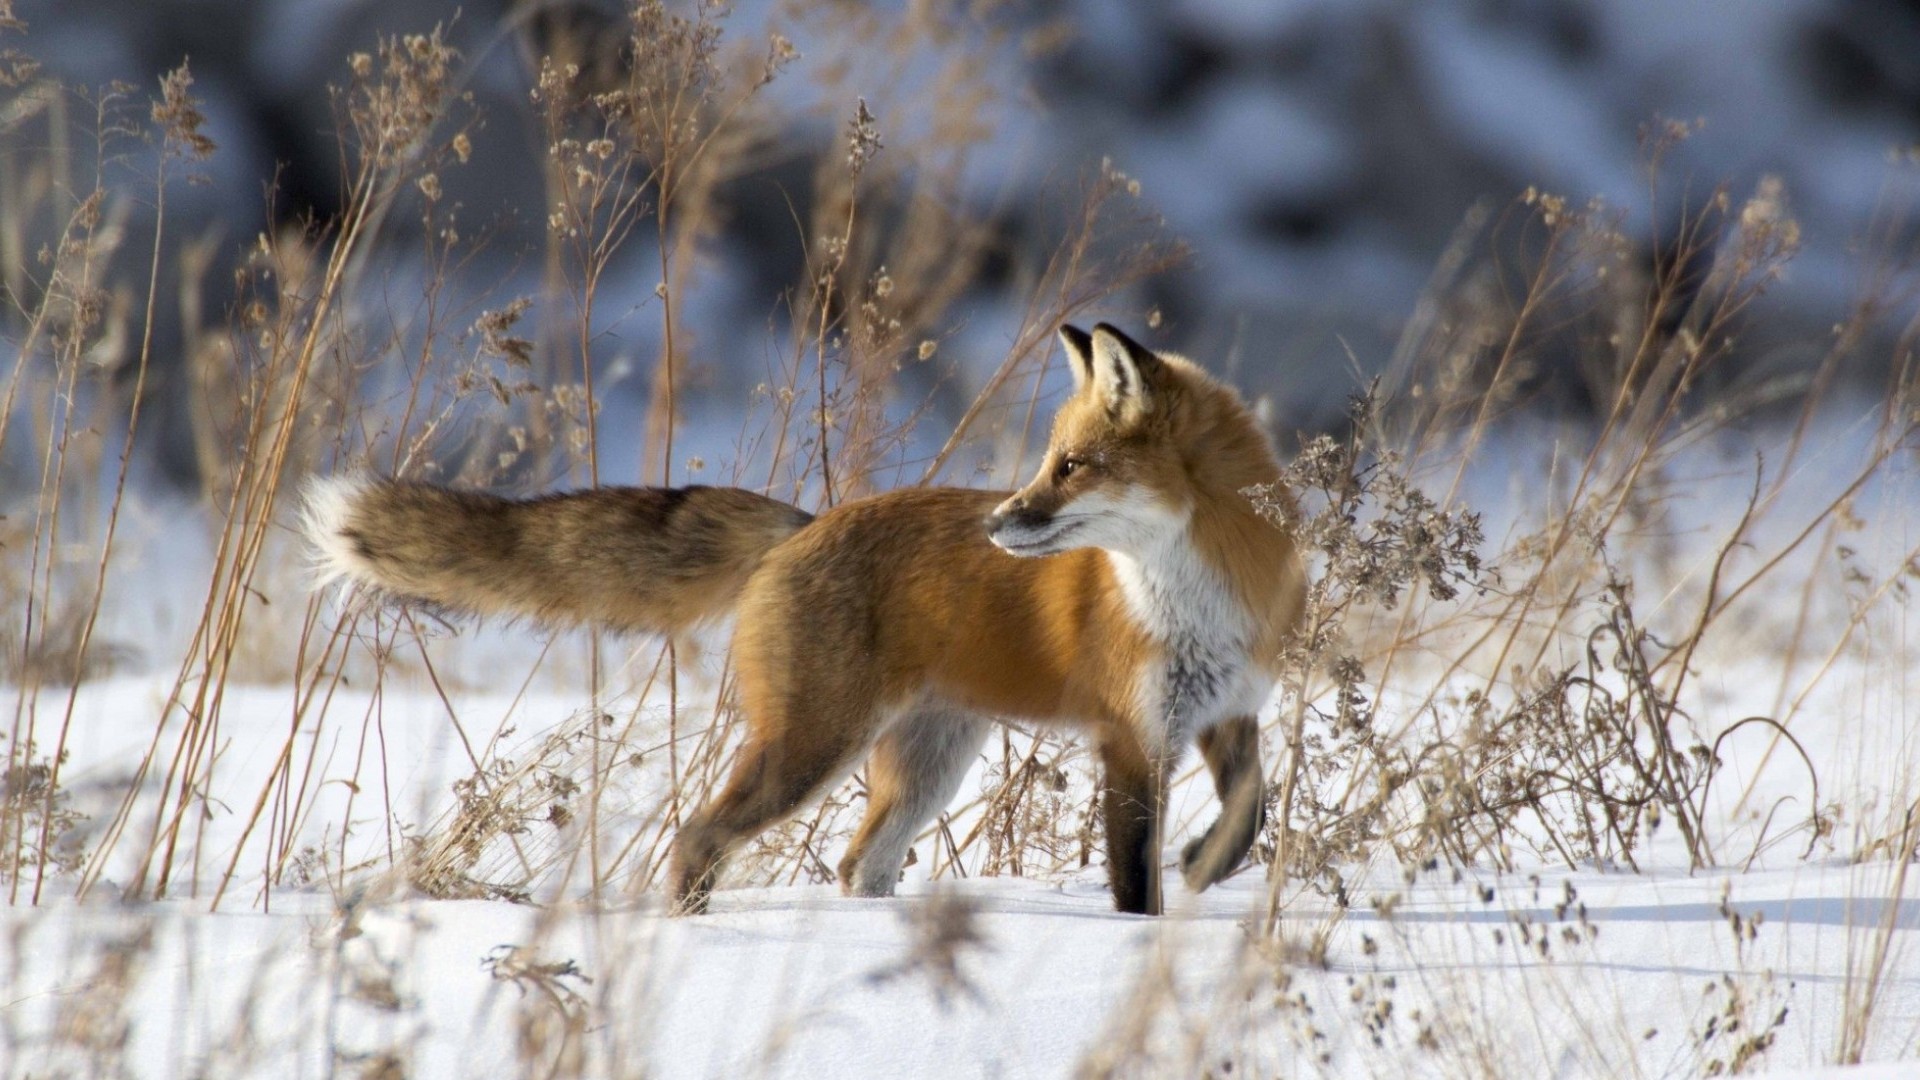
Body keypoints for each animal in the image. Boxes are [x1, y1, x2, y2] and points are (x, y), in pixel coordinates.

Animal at [304, 323, 1305, 915]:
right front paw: (1147, 936)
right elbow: (1135, 878)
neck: (1199, 592)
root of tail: (804, 524)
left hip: (924, 765)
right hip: (813, 749)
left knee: (860, 864)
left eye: (1072, 466)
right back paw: (691, 933)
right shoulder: (1130, 736)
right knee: (701, 836)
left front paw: (1205, 864)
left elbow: (1250, 814)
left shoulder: (1227, 712)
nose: (995, 523)